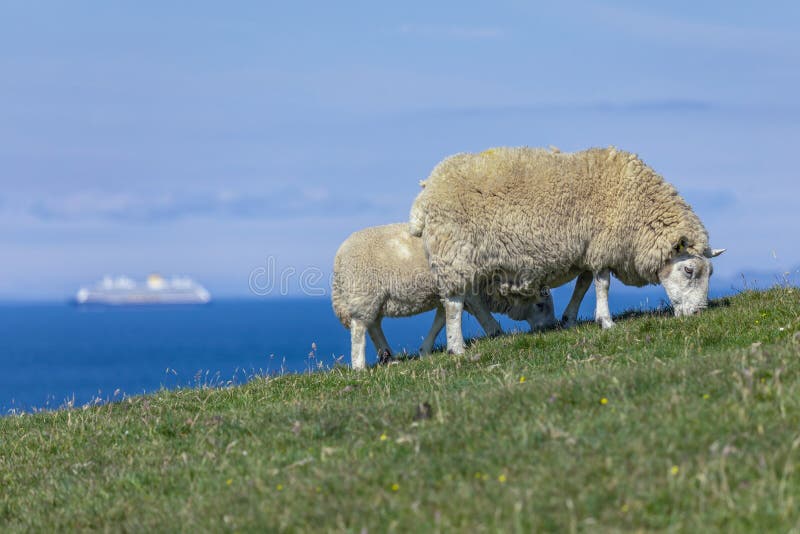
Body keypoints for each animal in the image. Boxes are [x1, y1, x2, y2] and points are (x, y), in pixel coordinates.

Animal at [332, 223, 557, 369]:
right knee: (360, 329)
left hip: (375, 299)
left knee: (374, 326)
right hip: (364, 293)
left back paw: (389, 358)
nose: (552, 327)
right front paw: (495, 332)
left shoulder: (446, 293)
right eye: (540, 304)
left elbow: (441, 319)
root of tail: (339, 257)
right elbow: (478, 311)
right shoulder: (467, 288)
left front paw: (425, 350)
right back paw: (360, 367)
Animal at [409, 146, 726, 354]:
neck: (638, 207)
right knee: (454, 304)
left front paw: (569, 319)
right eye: (689, 270)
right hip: (454, 252)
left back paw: (493, 331)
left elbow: (583, 285)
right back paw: (457, 348)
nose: (698, 313)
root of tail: (426, 192)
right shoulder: (603, 246)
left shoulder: (586, 250)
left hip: (471, 260)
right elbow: (602, 284)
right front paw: (606, 321)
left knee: (471, 298)